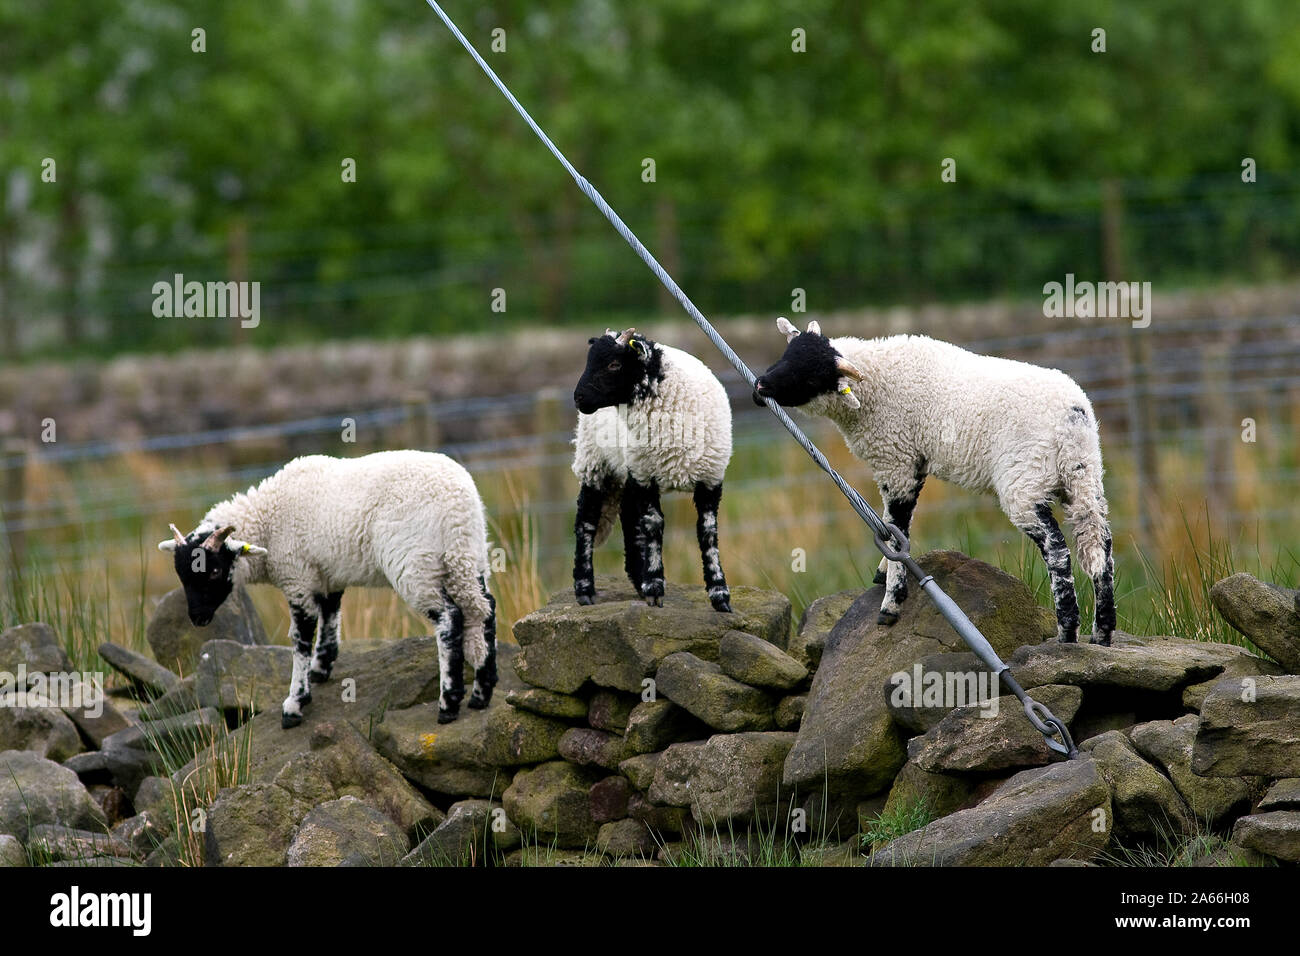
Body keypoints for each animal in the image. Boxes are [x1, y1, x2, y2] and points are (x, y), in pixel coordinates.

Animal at [157, 450, 497, 727]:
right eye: (181, 575)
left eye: (214, 571)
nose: (197, 618)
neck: (268, 517)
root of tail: (457, 501)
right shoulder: (326, 576)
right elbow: (330, 619)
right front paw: (320, 669)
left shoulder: (297, 577)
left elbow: (301, 639)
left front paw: (295, 703)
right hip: (467, 556)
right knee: (484, 609)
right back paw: (481, 691)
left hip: (416, 562)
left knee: (449, 619)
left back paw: (449, 703)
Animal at [571, 328, 733, 612]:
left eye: (614, 364)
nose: (578, 398)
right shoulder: (645, 475)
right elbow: (653, 524)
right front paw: (655, 585)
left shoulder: (711, 478)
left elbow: (707, 532)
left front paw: (719, 592)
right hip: (594, 462)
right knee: (586, 522)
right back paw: (585, 589)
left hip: (624, 469)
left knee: (628, 518)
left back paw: (638, 581)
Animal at [753, 317, 1116, 645]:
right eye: (786, 355)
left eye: (813, 375)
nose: (759, 388)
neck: (874, 387)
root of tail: (1073, 415)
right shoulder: (910, 463)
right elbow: (894, 524)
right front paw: (883, 573)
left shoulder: (898, 462)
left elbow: (897, 526)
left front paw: (891, 603)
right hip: (1084, 478)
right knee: (1100, 548)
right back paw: (1102, 633)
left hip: (1025, 480)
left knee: (1058, 550)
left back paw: (1067, 632)